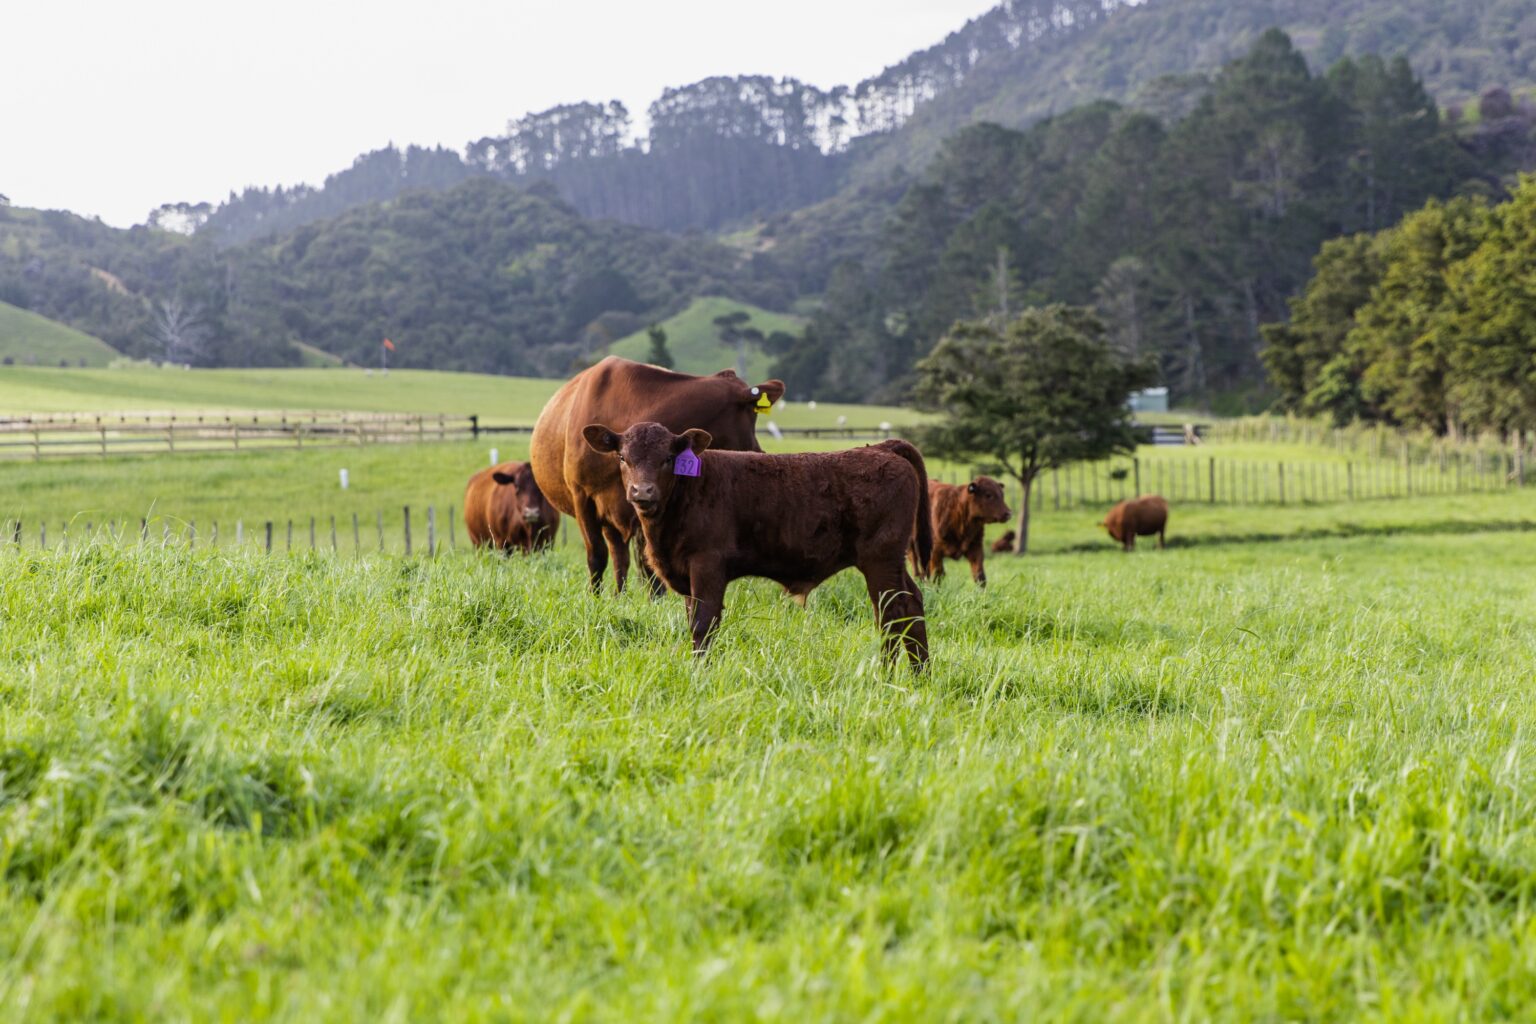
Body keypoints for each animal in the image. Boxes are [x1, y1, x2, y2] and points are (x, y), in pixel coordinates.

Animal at [530, 357, 784, 593]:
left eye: (668, 458)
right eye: (751, 414)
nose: (761, 453)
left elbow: (649, 563)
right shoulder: (582, 497)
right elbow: (597, 556)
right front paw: (596, 598)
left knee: (623, 556)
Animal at [581, 422, 933, 669]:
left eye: (668, 458)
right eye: (623, 457)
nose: (643, 492)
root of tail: (882, 449)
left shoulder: (708, 566)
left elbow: (703, 624)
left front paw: (700, 674)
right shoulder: (685, 575)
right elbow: (693, 620)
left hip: (880, 561)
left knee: (892, 614)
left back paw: (886, 676)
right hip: (892, 562)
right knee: (912, 606)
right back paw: (920, 676)